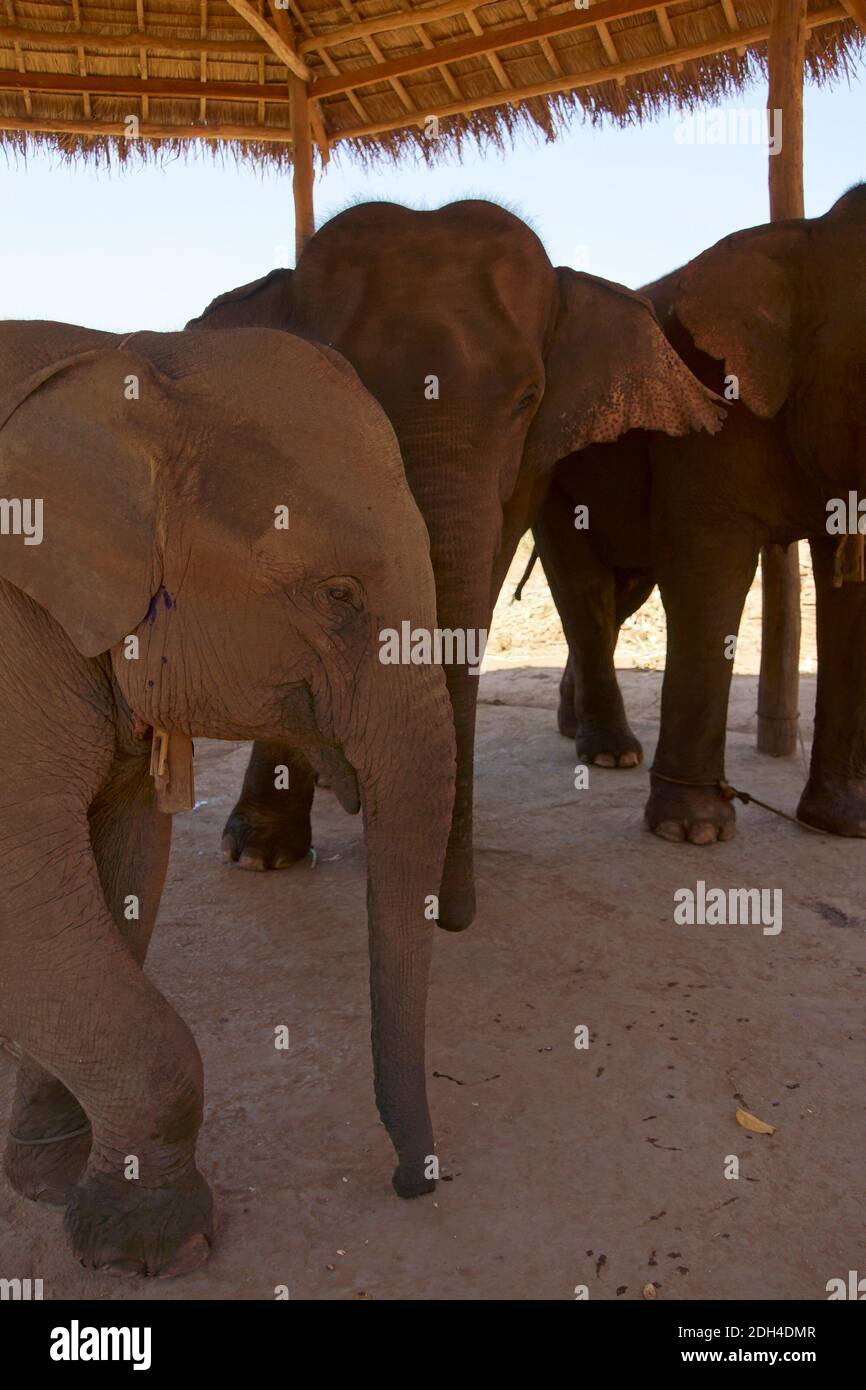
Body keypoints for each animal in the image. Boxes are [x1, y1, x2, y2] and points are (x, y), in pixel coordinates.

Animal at [0, 319, 455, 1276]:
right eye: (339, 595)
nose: (411, 1184)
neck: (128, 360)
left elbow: (124, 873)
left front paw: (51, 1186)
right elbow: (26, 901)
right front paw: (156, 1250)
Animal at [532, 184, 866, 844]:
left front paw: (845, 825)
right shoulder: (711, 411)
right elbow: (708, 569)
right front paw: (691, 834)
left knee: (622, 590)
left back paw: (574, 727)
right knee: (585, 585)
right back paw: (611, 755)